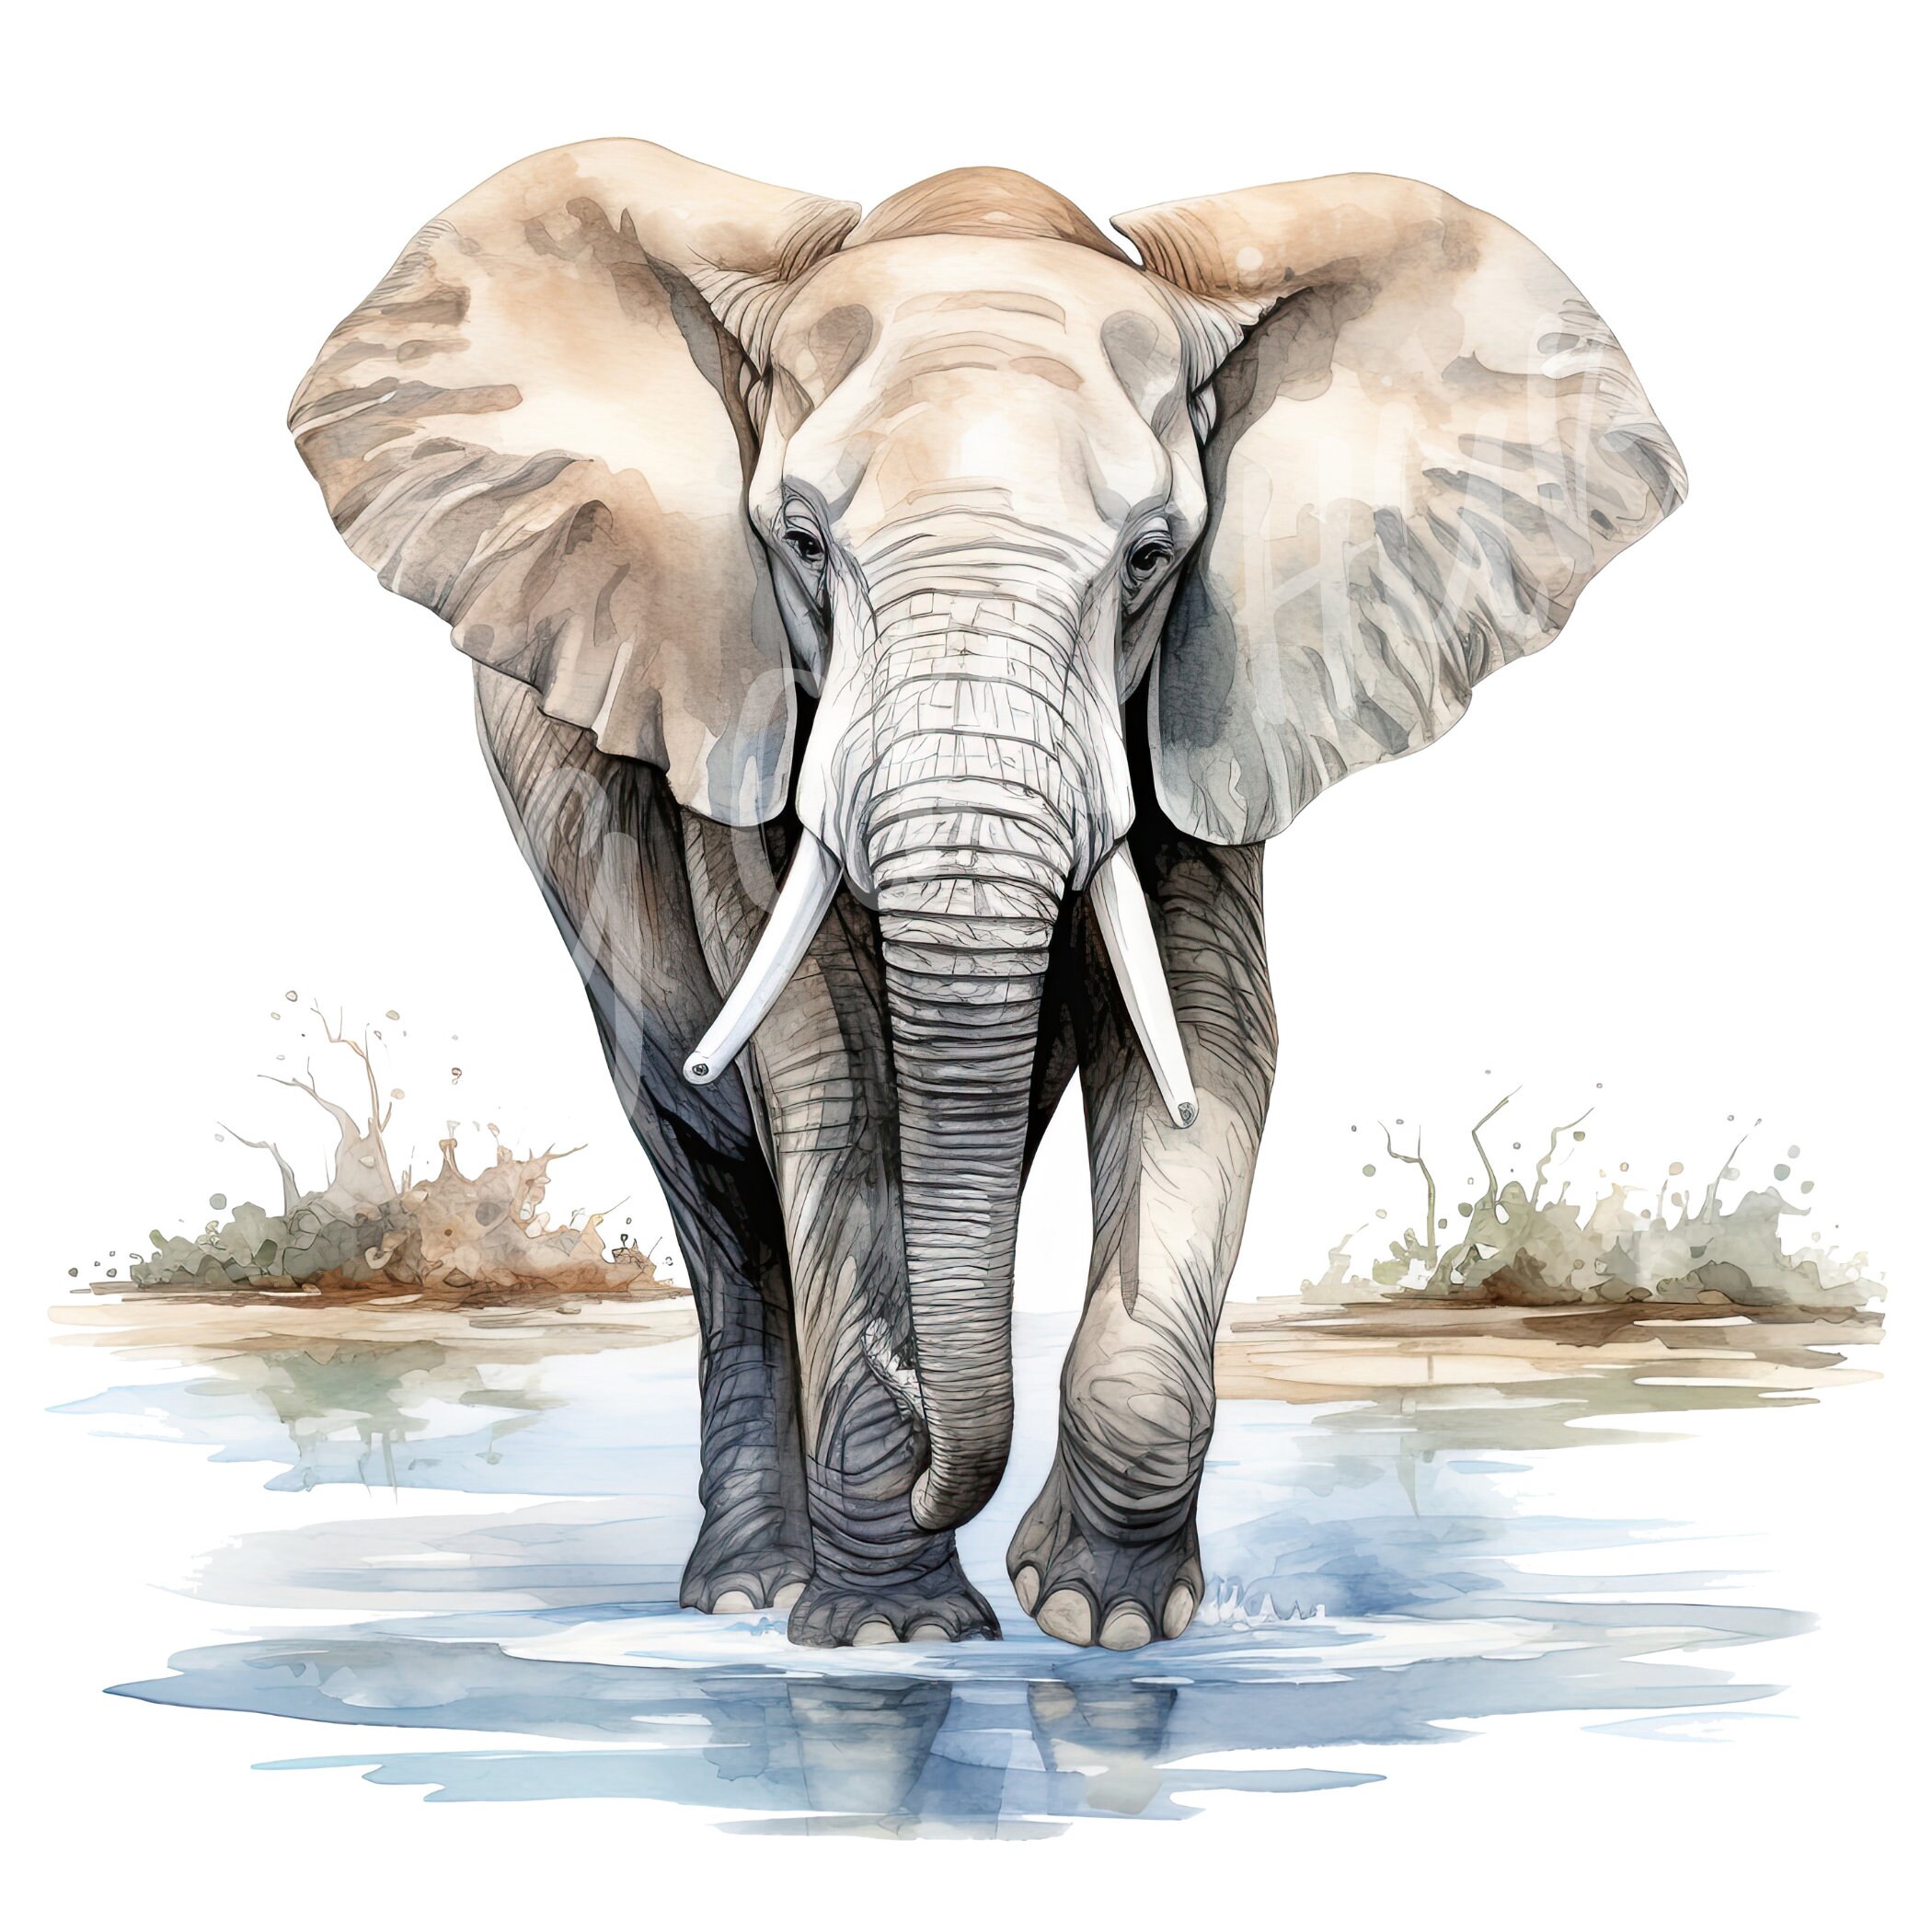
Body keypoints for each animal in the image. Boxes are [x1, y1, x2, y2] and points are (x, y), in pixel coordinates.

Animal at [288, 141, 1684, 1649]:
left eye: (1151, 555)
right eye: (800, 543)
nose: (918, 1418)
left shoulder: (1205, 706)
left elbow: (1205, 1040)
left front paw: (1096, 1617)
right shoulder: (732, 707)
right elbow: (830, 1065)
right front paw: (895, 1636)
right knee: (717, 1183)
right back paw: (749, 1590)